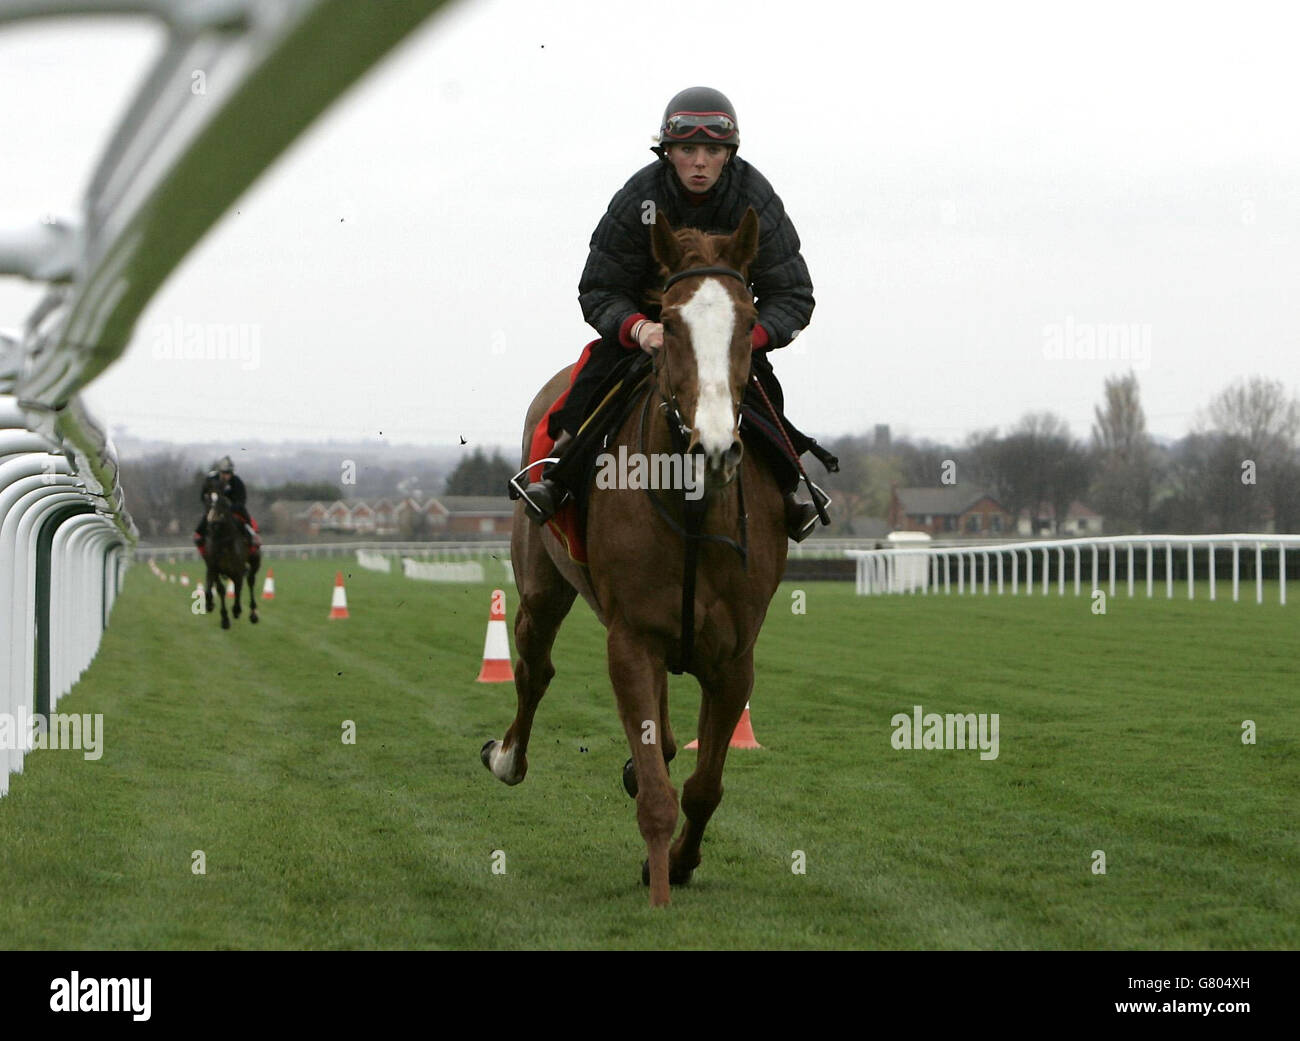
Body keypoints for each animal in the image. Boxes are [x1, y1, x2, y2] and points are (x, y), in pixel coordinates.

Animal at [202, 477, 259, 630]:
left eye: (221, 501)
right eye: (207, 499)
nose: (213, 523)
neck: (224, 540)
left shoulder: (238, 569)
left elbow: (238, 588)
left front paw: (237, 609)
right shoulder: (214, 568)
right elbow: (220, 589)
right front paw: (224, 618)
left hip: (255, 561)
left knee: (250, 581)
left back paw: (253, 614)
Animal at [482, 207, 789, 907]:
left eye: (747, 319)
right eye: (668, 323)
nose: (713, 447)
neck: (694, 510)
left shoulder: (734, 659)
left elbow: (704, 787)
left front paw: (678, 864)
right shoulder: (630, 642)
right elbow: (657, 797)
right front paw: (659, 893)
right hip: (541, 587)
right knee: (534, 669)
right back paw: (508, 758)